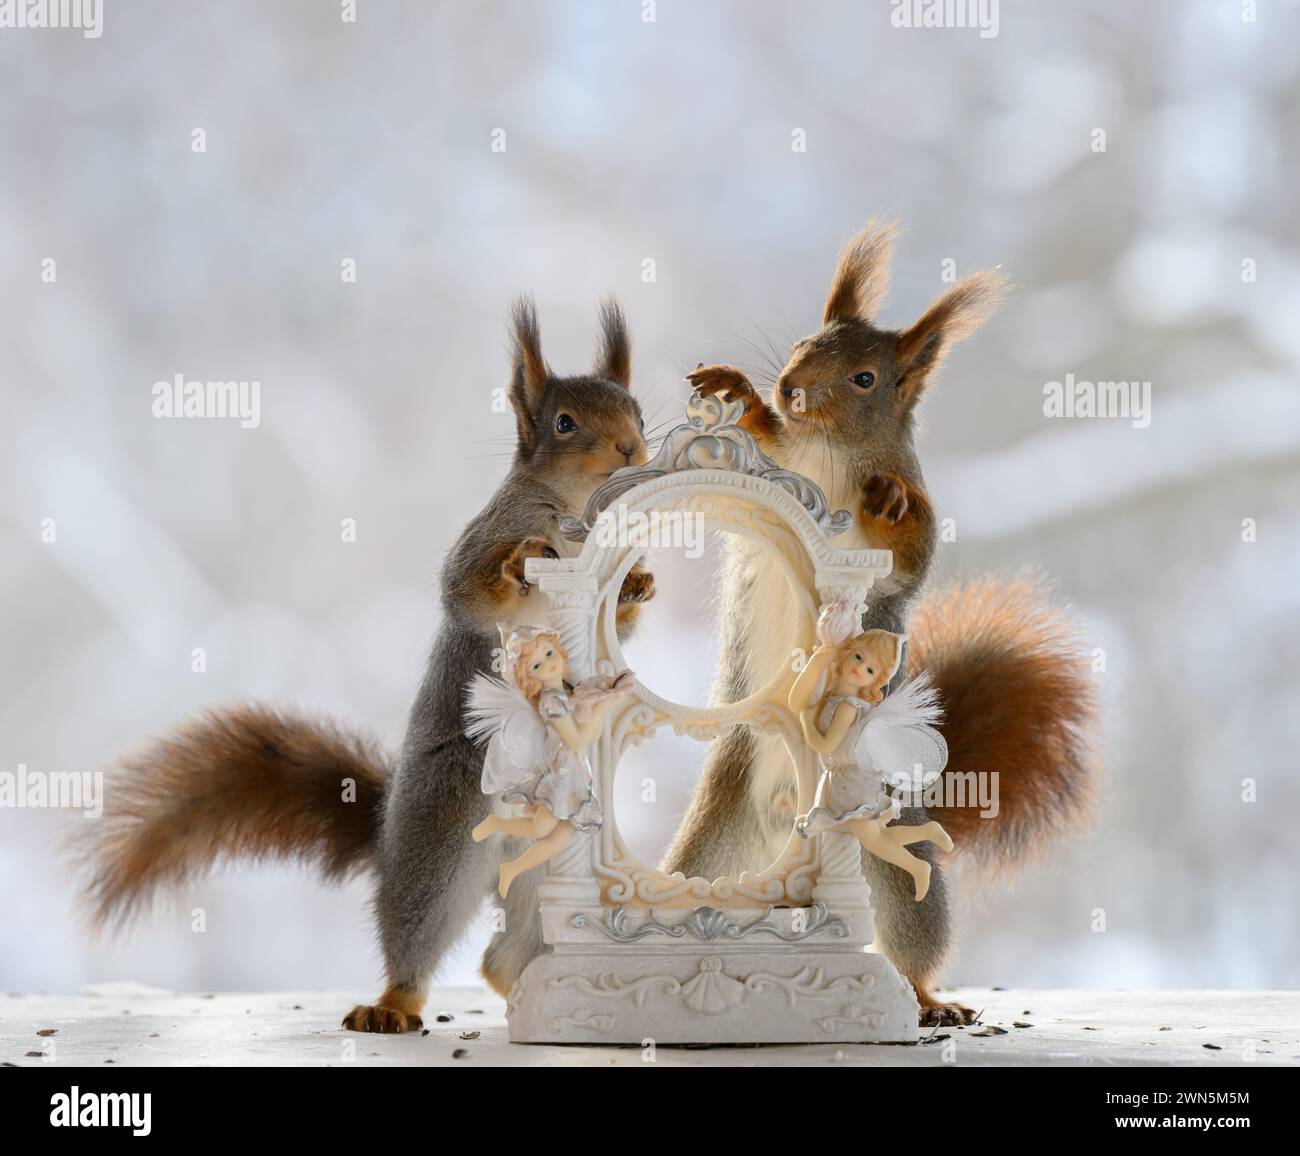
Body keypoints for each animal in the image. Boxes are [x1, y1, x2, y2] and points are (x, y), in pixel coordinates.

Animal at [82, 297, 654, 1033]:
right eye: (564, 423)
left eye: (638, 413)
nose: (631, 449)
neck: (576, 519)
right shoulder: (485, 542)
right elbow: (470, 591)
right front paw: (517, 563)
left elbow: (617, 631)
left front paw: (640, 583)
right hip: (438, 840)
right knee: (416, 930)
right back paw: (392, 1006)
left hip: (556, 871)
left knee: (503, 954)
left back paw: (536, 988)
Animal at [660, 220, 1101, 1026]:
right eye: (802, 342)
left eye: (866, 379)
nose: (791, 388)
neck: (829, 447)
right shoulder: (772, 466)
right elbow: (752, 447)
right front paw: (737, 391)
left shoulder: (905, 524)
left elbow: (911, 547)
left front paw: (889, 501)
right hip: (715, 844)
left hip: (889, 860)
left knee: (910, 939)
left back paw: (930, 1000)